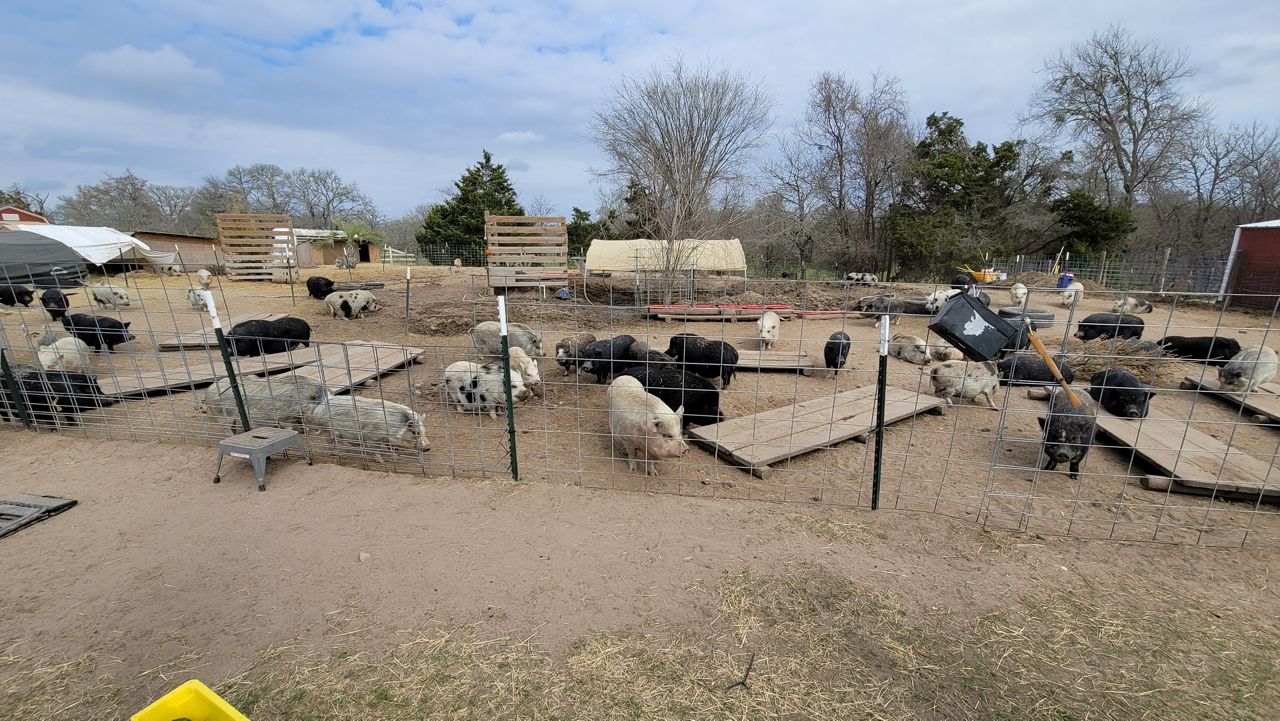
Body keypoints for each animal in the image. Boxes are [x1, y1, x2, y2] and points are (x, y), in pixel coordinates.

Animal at [200, 374, 328, 434]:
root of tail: (208, 391)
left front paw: (306, 430)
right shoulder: (283, 416)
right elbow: (289, 427)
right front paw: (296, 432)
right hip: (222, 415)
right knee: (226, 429)